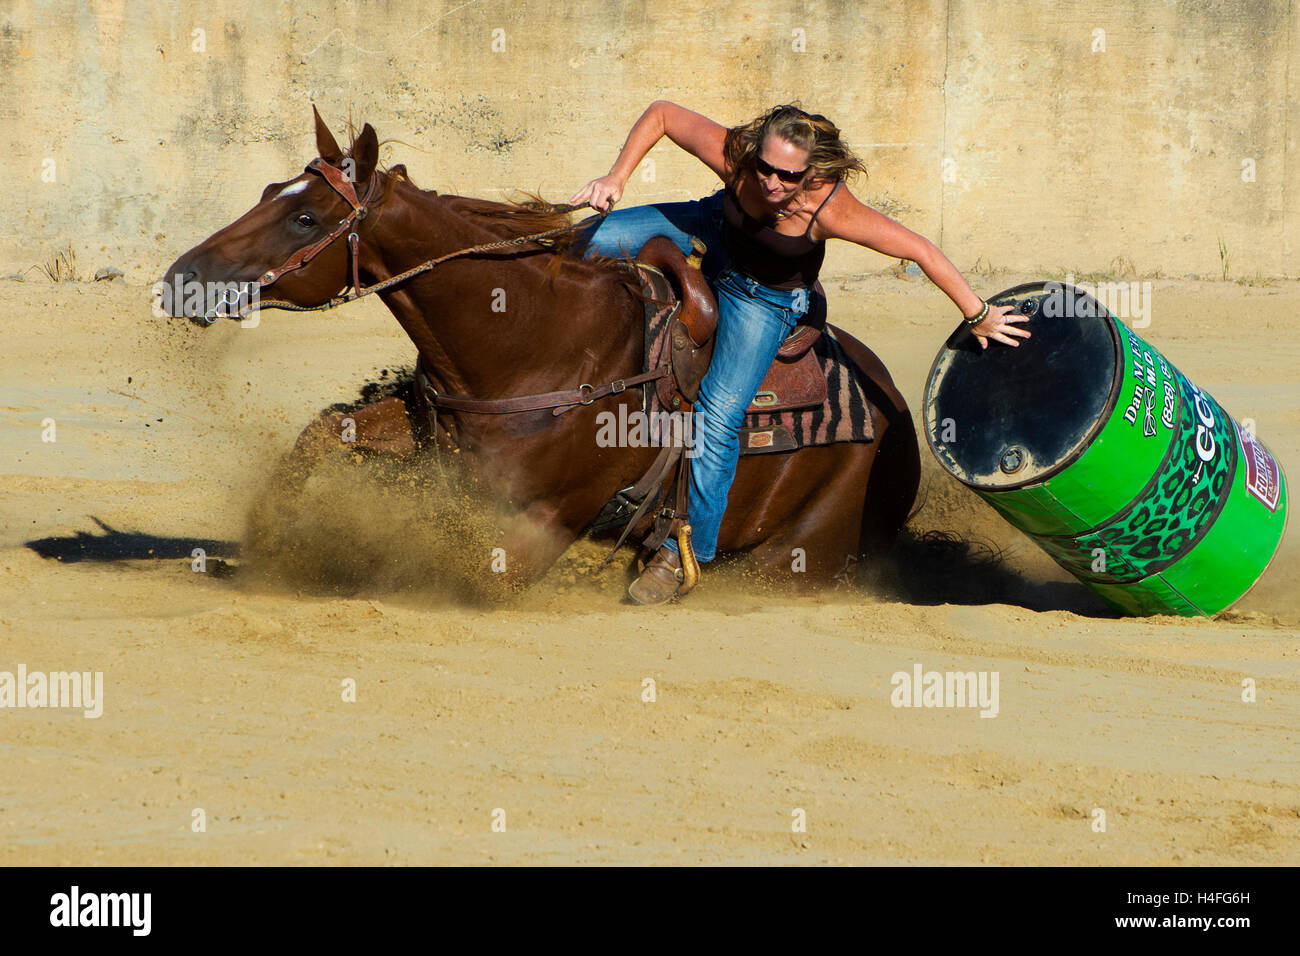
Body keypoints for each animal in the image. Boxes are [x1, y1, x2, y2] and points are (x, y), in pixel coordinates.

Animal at [161, 108, 921, 595]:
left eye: (304, 217)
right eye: (271, 190)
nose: (183, 278)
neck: (533, 346)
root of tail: (893, 407)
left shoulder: (538, 525)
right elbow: (322, 434)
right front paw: (268, 540)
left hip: (802, 553)